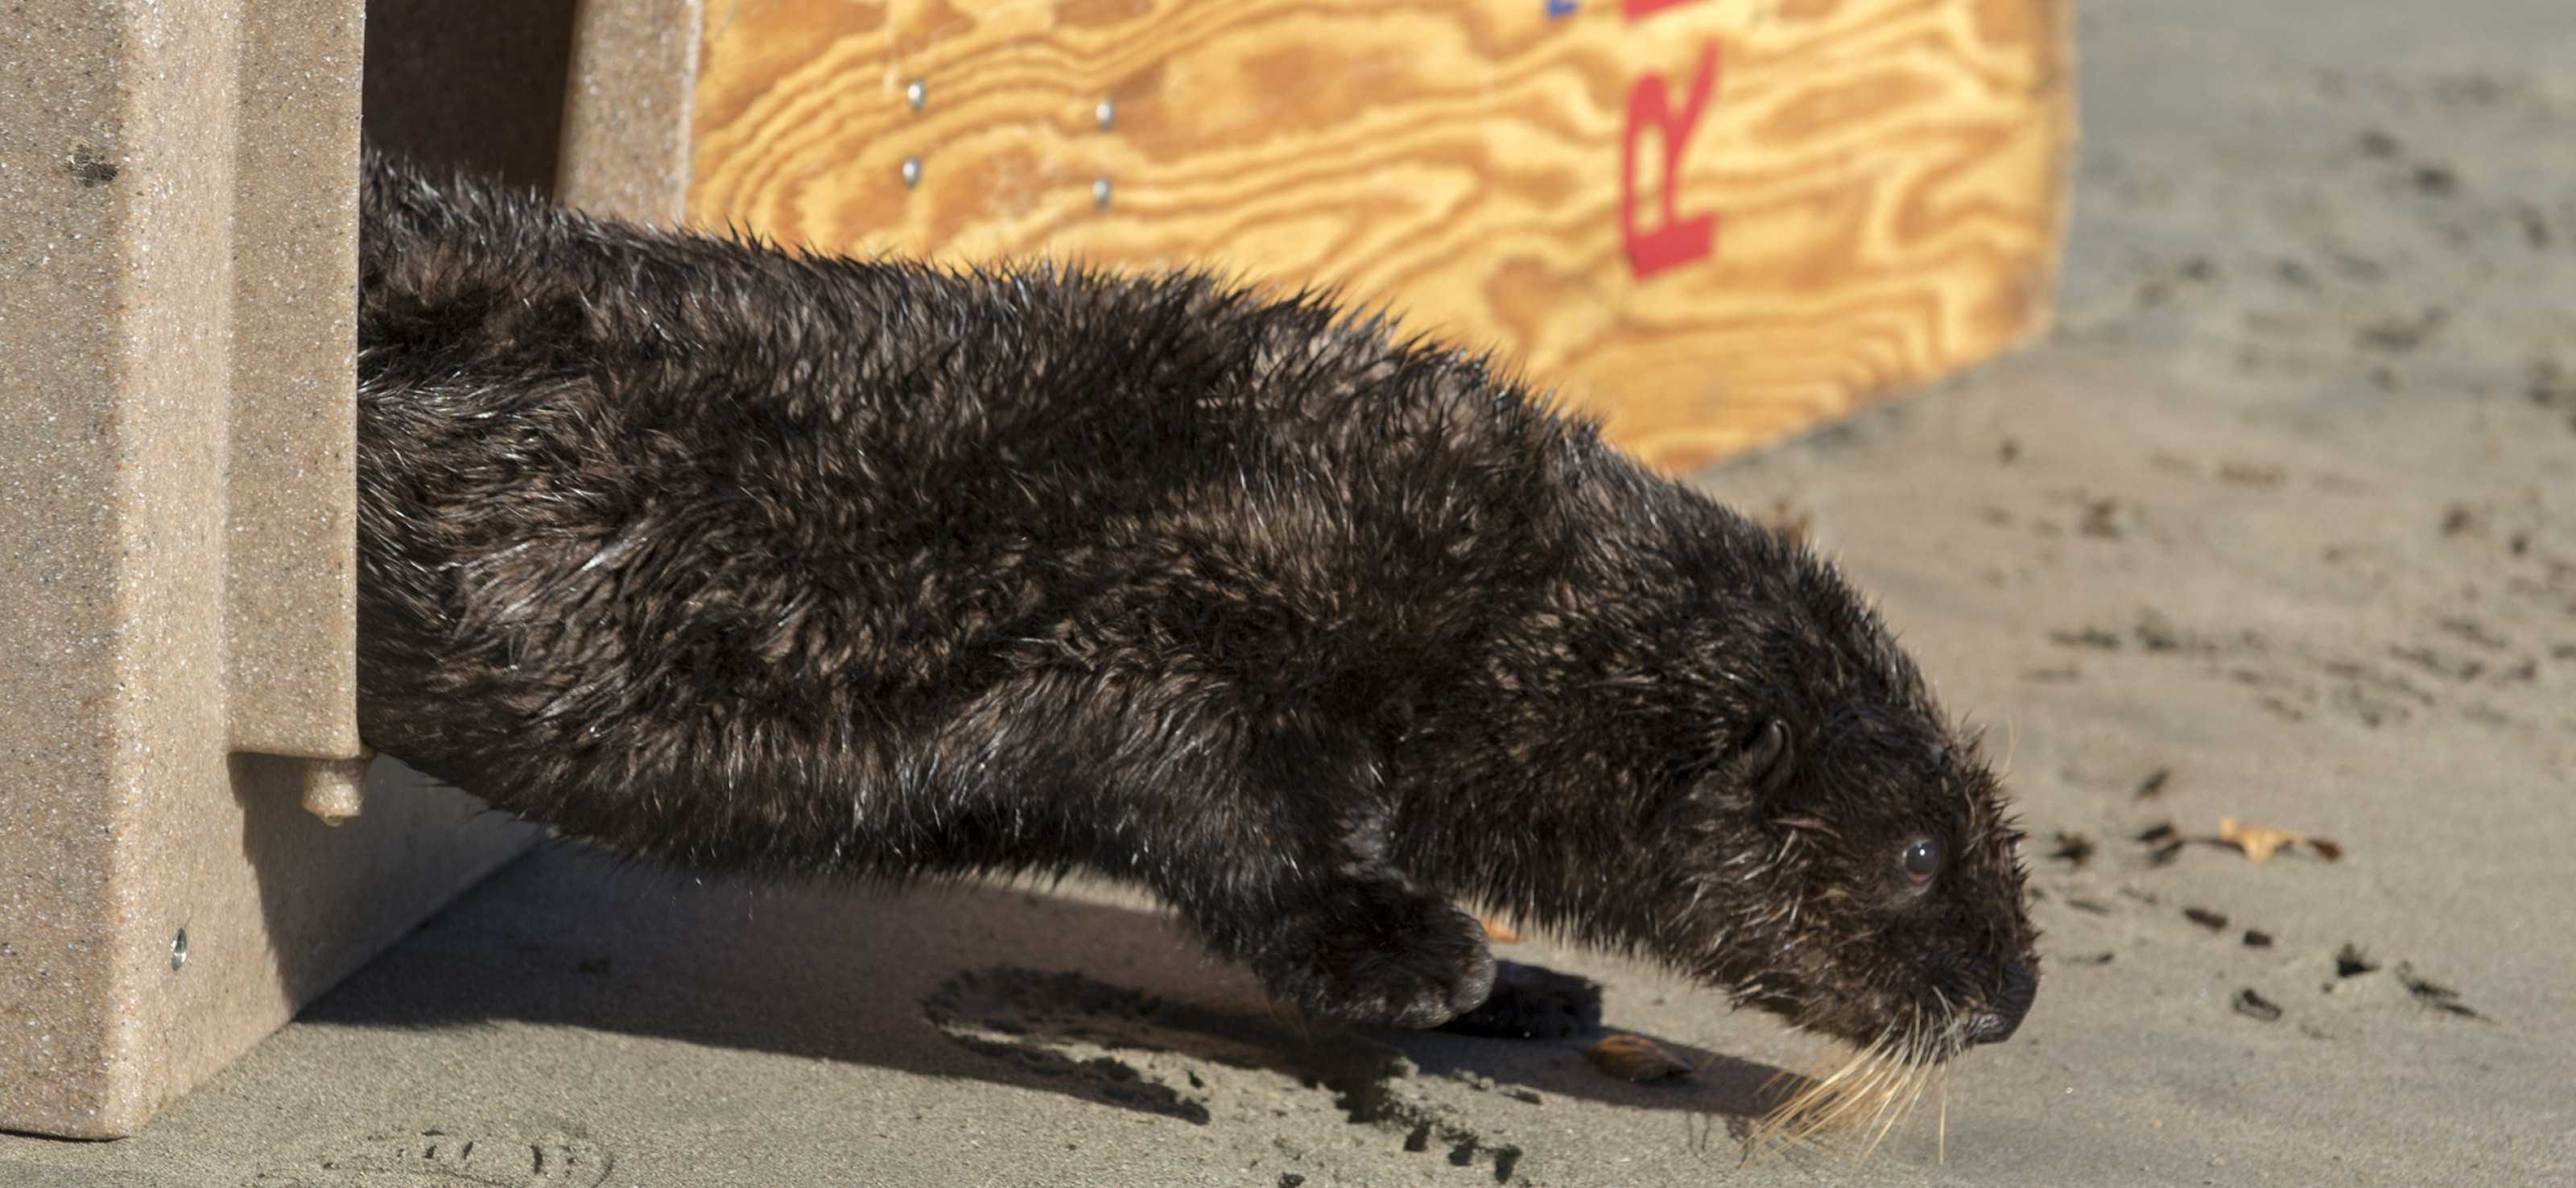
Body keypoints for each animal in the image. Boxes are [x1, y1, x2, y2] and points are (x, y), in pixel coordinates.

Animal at [353, 149, 2038, 1120]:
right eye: (1917, 855)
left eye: (1993, 834)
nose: (2013, 999)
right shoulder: (1181, 625)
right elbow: (1236, 822)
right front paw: (1431, 959)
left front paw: (1535, 989)